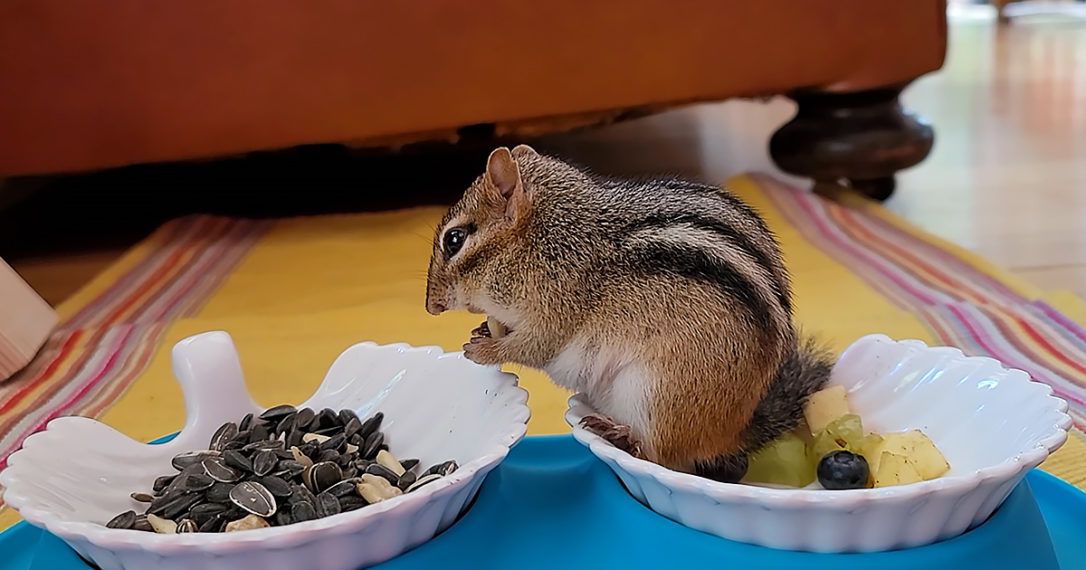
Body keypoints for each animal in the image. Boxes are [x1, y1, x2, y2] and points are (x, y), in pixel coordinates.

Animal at [424, 145, 833, 482]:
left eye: (454, 240)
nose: (430, 306)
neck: (545, 239)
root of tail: (732, 431)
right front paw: (482, 330)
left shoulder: (554, 311)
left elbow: (531, 348)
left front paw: (483, 350)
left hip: (657, 395)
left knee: (661, 456)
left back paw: (621, 435)